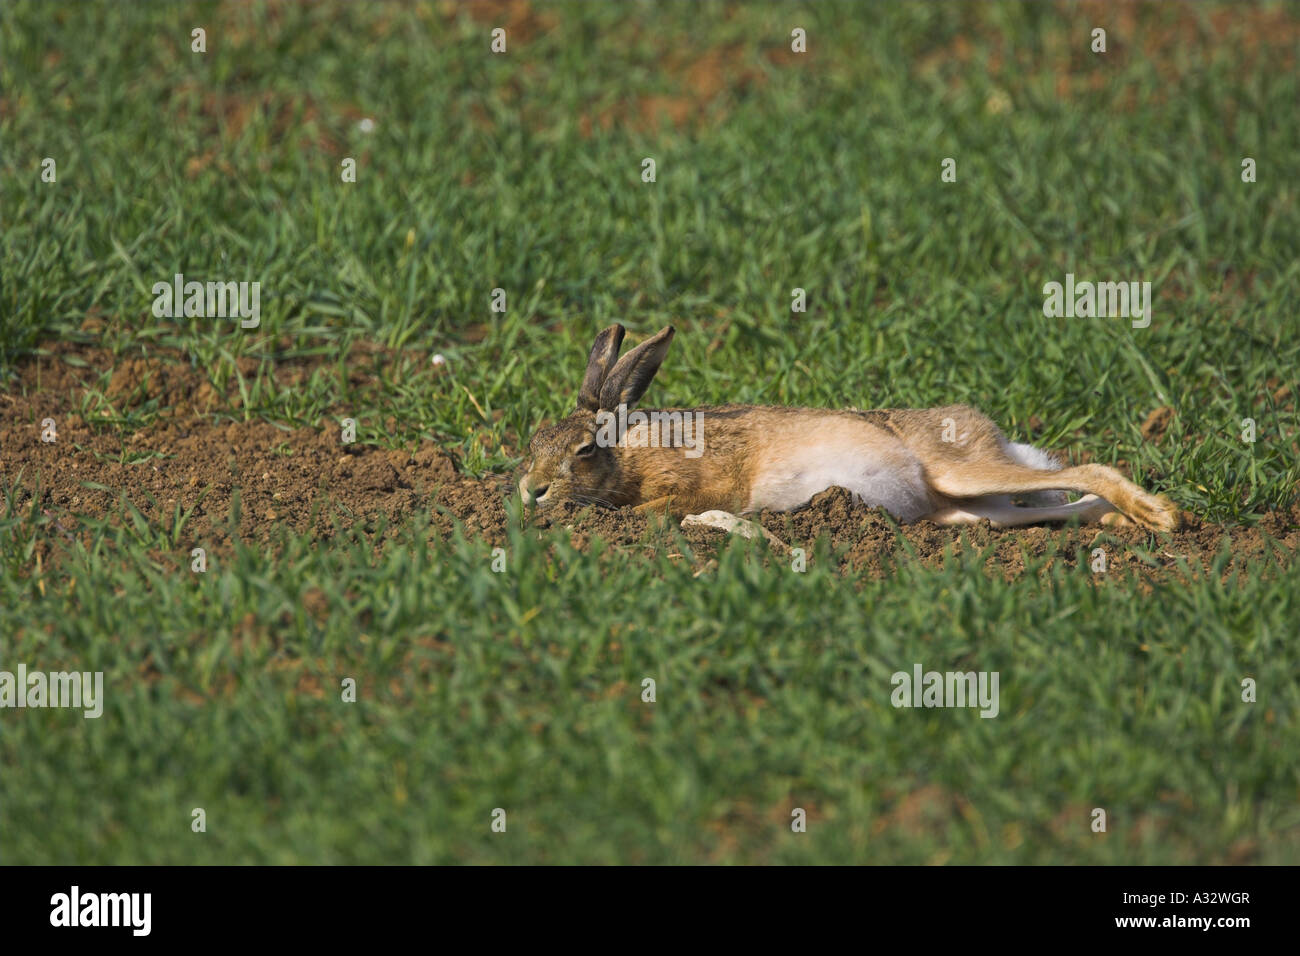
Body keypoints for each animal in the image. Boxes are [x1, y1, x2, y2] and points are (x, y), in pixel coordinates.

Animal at [518, 323, 1182, 532]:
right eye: (533, 439)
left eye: (583, 449)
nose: (531, 491)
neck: (629, 455)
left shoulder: (702, 485)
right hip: (962, 510)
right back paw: (1115, 522)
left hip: (959, 471)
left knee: (1087, 470)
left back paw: (1163, 518)